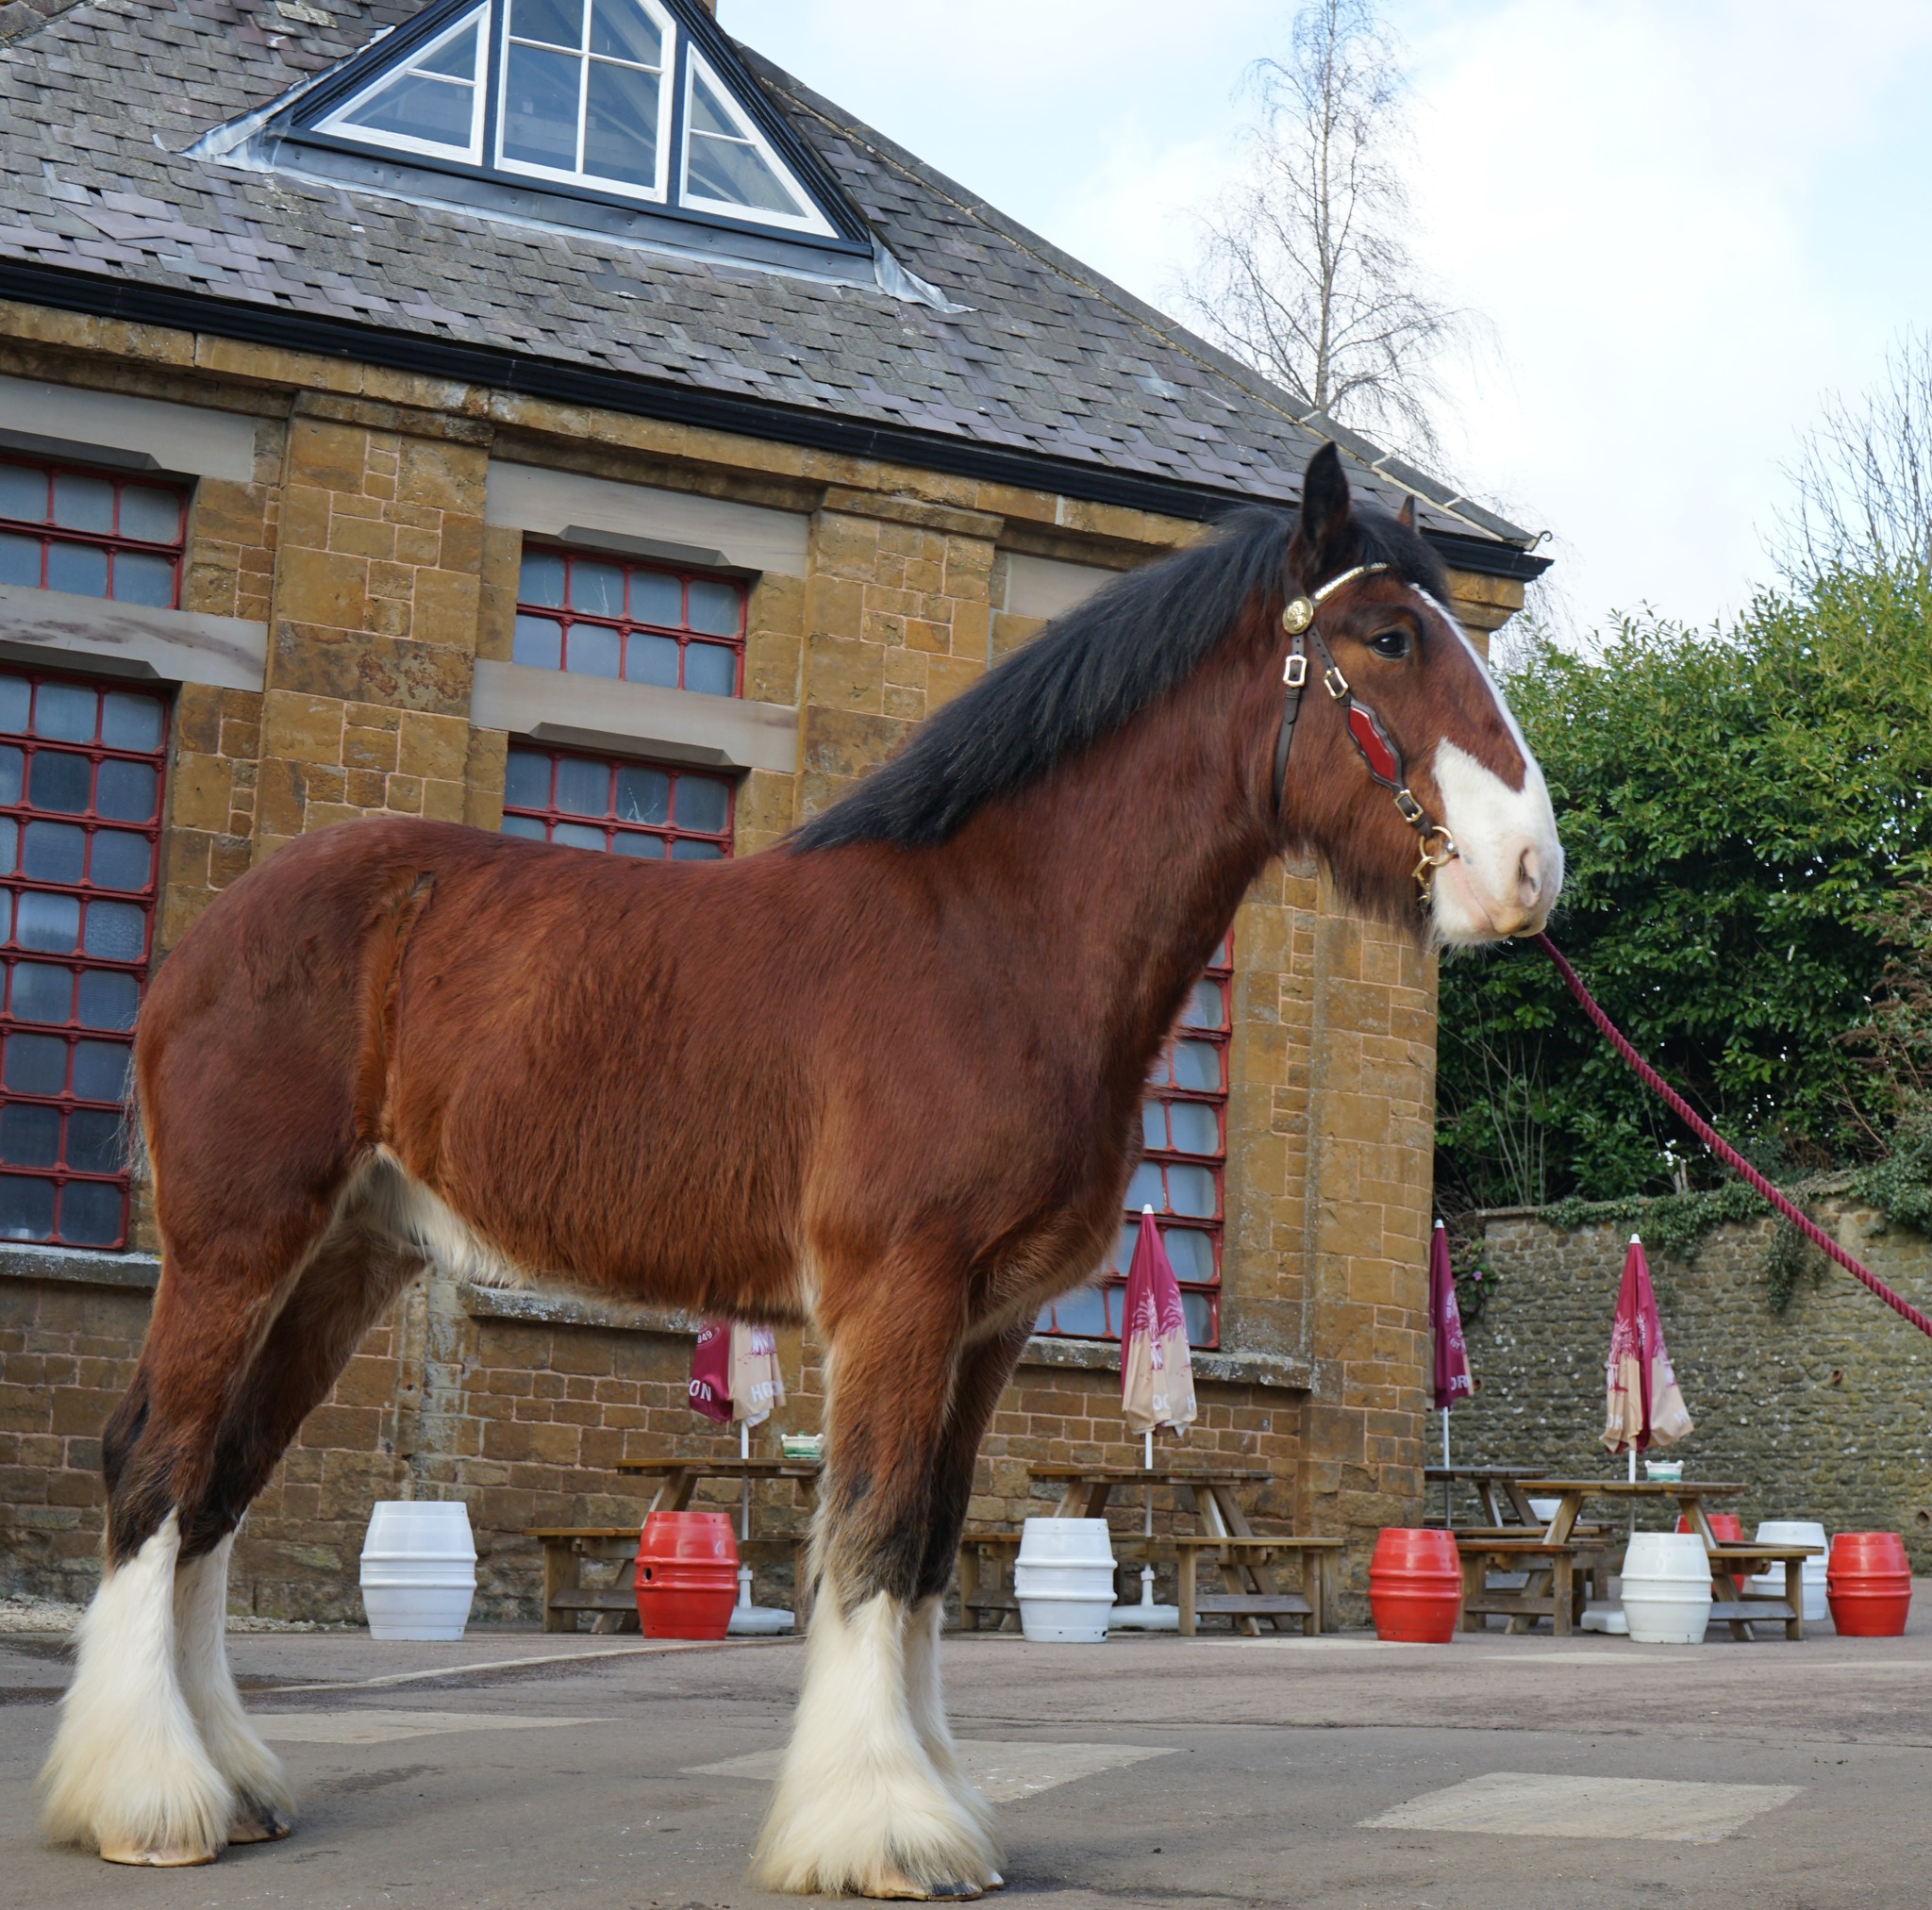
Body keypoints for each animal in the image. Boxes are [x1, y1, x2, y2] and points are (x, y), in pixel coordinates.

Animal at [38, 442, 1560, 1895]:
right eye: (1386, 636)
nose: (1530, 869)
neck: (995, 941)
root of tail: (214, 936)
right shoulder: (899, 1295)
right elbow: (875, 1540)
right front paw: (883, 1831)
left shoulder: (989, 1325)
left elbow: (930, 1547)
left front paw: (936, 1809)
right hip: (237, 1246)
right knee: (156, 1465)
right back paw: (148, 1800)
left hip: (343, 1262)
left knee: (218, 1482)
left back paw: (229, 1780)